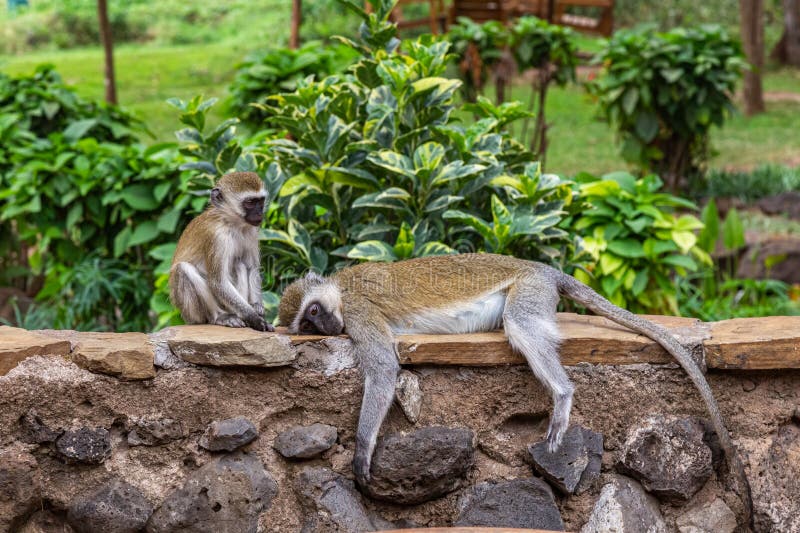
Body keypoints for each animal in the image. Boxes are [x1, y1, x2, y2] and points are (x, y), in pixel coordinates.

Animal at [169, 171, 273, 332]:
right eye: (250, 202)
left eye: (260, 201)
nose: (259, 214)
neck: (231, 223)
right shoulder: (217, 237)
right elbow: (218, 282)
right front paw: (253, 317)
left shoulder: (252, 231)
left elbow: (252, 268)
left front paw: (257, 307)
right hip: (192, 312)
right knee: (183, 269)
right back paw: (220, 316)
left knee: (240, 264)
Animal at [279, 253, 752, 524]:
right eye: (307, 325)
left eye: (313, 313)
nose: (324, 328)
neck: (341, 289)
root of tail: (541, 268)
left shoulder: (359, 310)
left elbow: (382, 367)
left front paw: (361, 449)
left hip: (529, 289)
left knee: (521, 322)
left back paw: (562, 395)